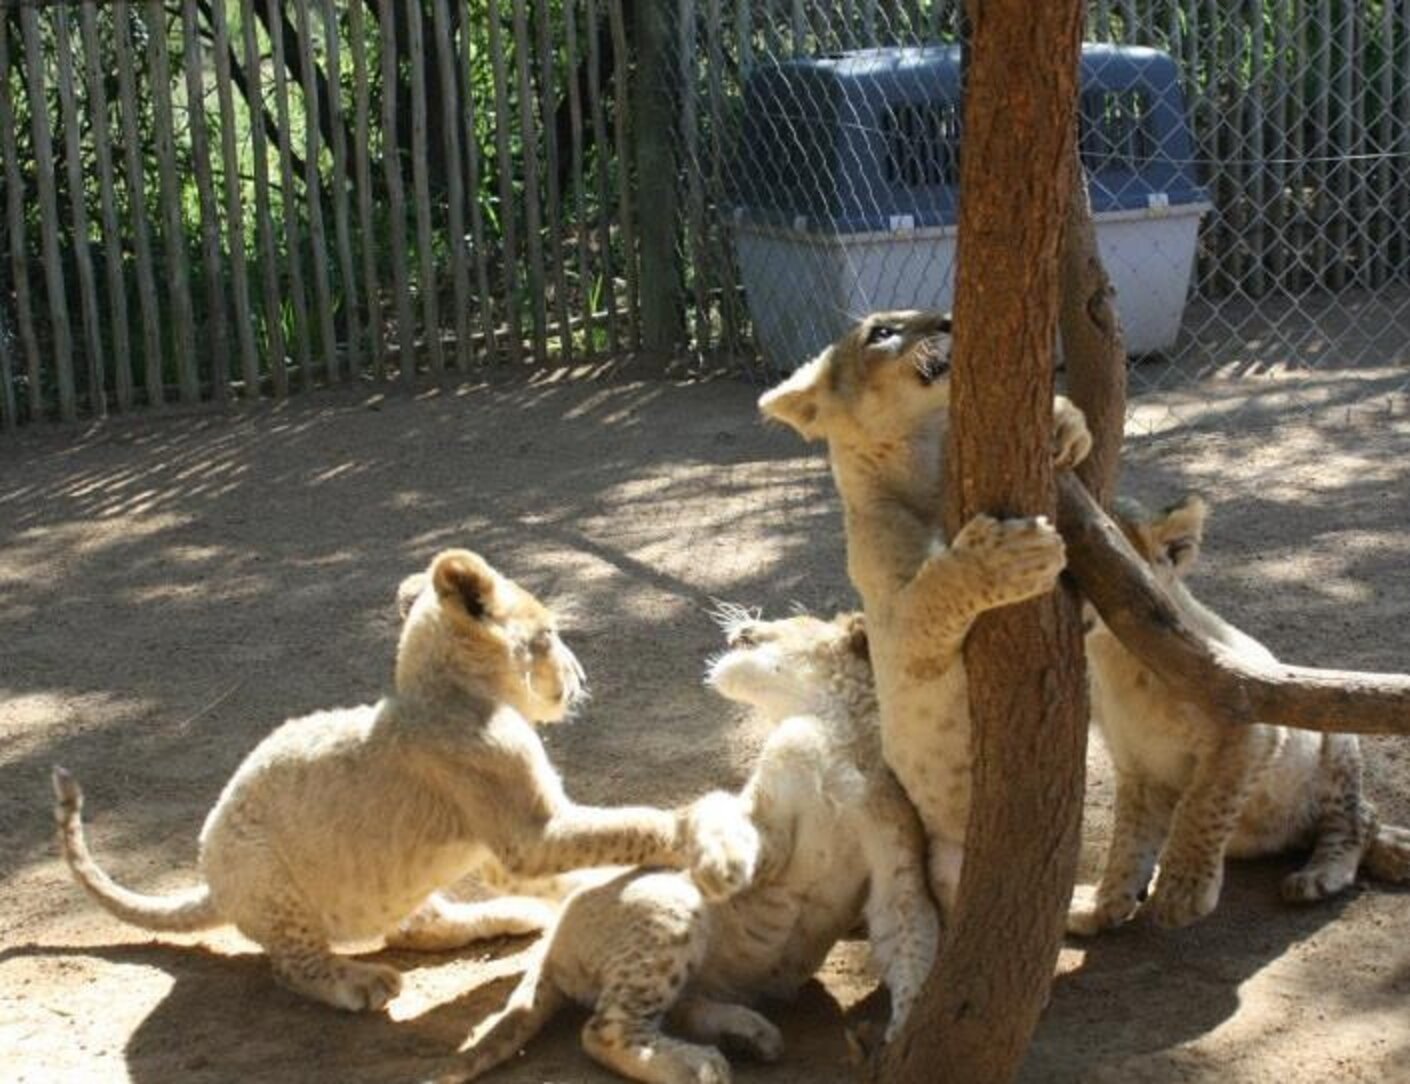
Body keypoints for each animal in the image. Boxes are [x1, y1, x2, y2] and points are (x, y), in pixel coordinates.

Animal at [51, 548, 760, 1012]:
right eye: (550, 634)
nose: (582, 677)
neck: (448, 693)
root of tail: (209, 882)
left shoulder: (507, 845)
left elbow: (595, 848)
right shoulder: (529, 833)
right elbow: (638, 820)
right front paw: (705, 837)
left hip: (396, 884)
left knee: (415, 925)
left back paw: (509, 916)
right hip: (267, 878)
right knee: (293, 965)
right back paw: (357, 984)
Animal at [435, 608, 939, 1084]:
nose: (746, 621)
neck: (833, 732)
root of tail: (553, 943)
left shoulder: (896, 869)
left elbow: (912, 941)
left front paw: (904, 1035)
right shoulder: (762, 812)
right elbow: (719, 812)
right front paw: (722, 866)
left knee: (650, 1015)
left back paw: (745, 1036)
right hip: (670, 899)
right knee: (602, 1031)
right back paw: (702, 1063)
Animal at [758, 310, 1086, 910]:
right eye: (880, 334)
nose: (950, 318)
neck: (924, 465)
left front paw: (1065, 422)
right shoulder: (896, 632)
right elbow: (940, 584)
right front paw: (1012, 553)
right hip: (949, 864)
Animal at [1068, 495, 1410, 931]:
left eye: (1100, 571)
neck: (1116, 662)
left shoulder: (1251, 720)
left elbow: (1201, 805)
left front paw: (1183, 894)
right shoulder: (1139, 767)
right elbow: (1128, 839)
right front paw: (1103, 904)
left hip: (1333, 734)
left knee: (1359, 817)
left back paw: (1319, 875)